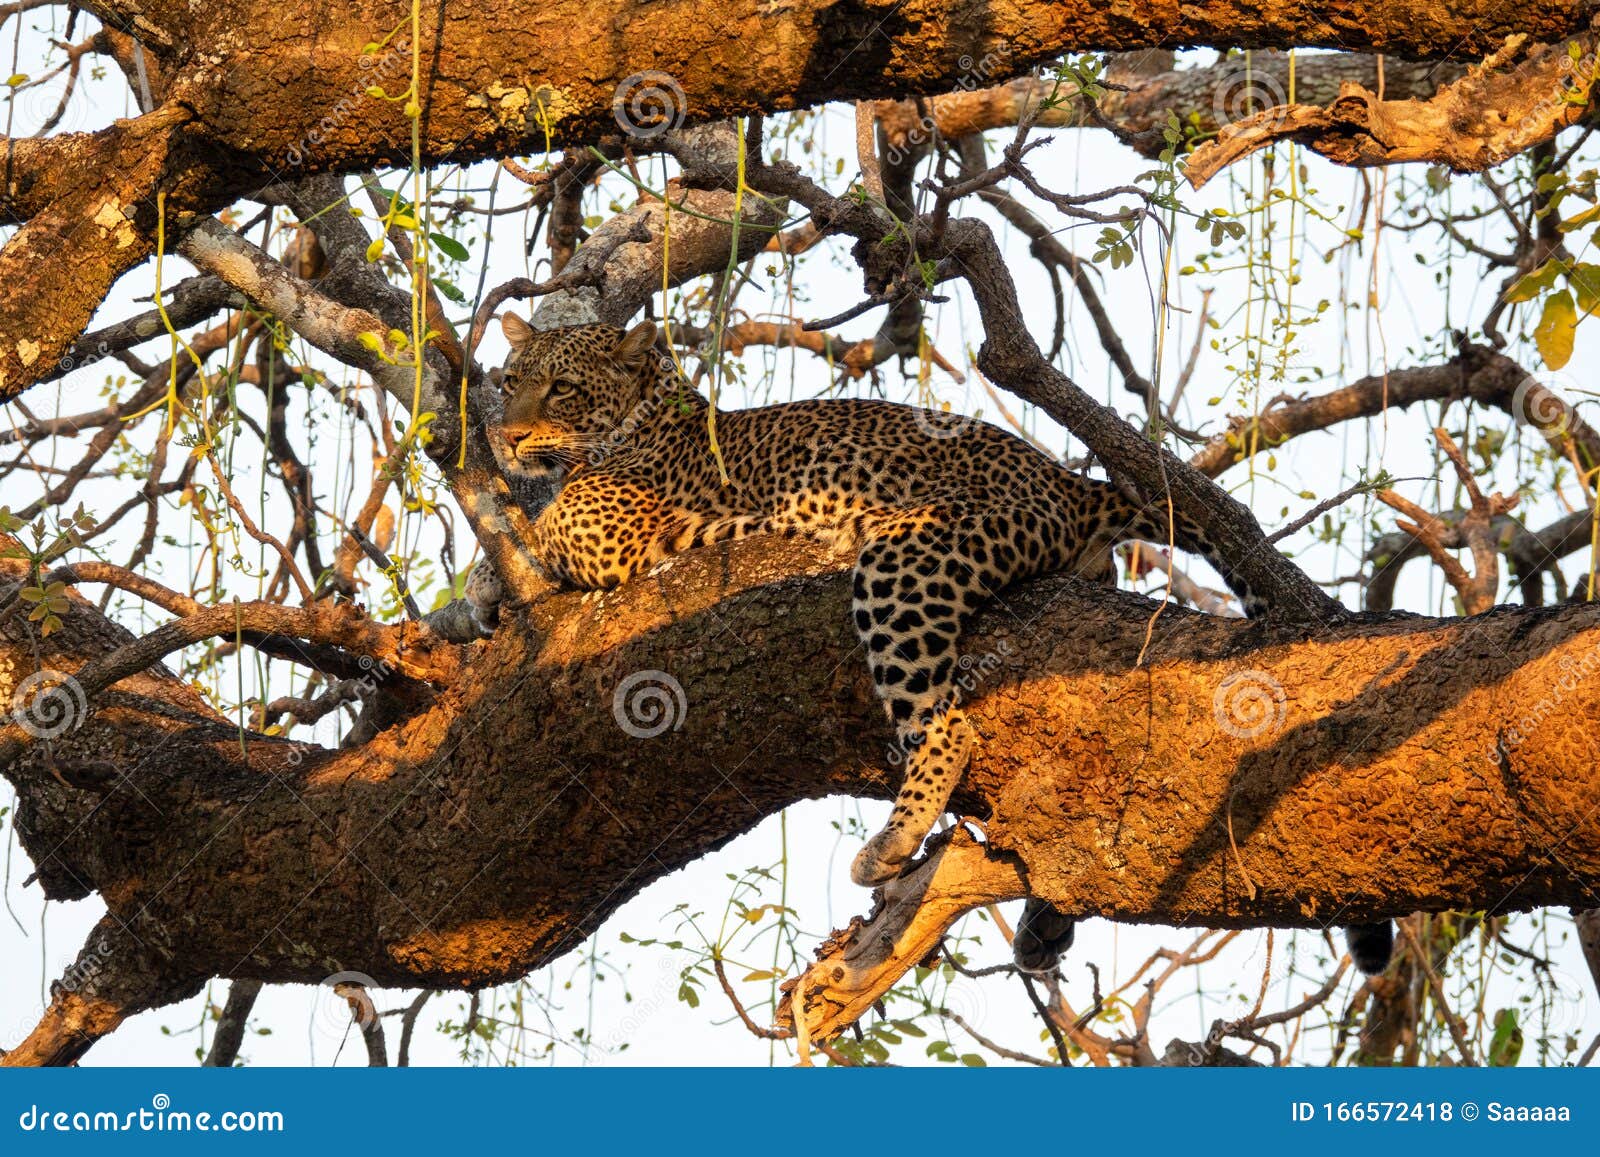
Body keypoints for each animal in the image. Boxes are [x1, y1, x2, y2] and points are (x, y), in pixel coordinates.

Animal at [472, 317, 1393, 977]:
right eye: (510, 383)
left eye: (561, 388)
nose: (506, 439)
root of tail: (1068, 482)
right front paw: (485, 588)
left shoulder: (615, 534)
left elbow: (545, 527)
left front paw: (498, 569)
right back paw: (1043, 921)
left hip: (904, 561)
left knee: (947, 724)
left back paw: (891, 844)